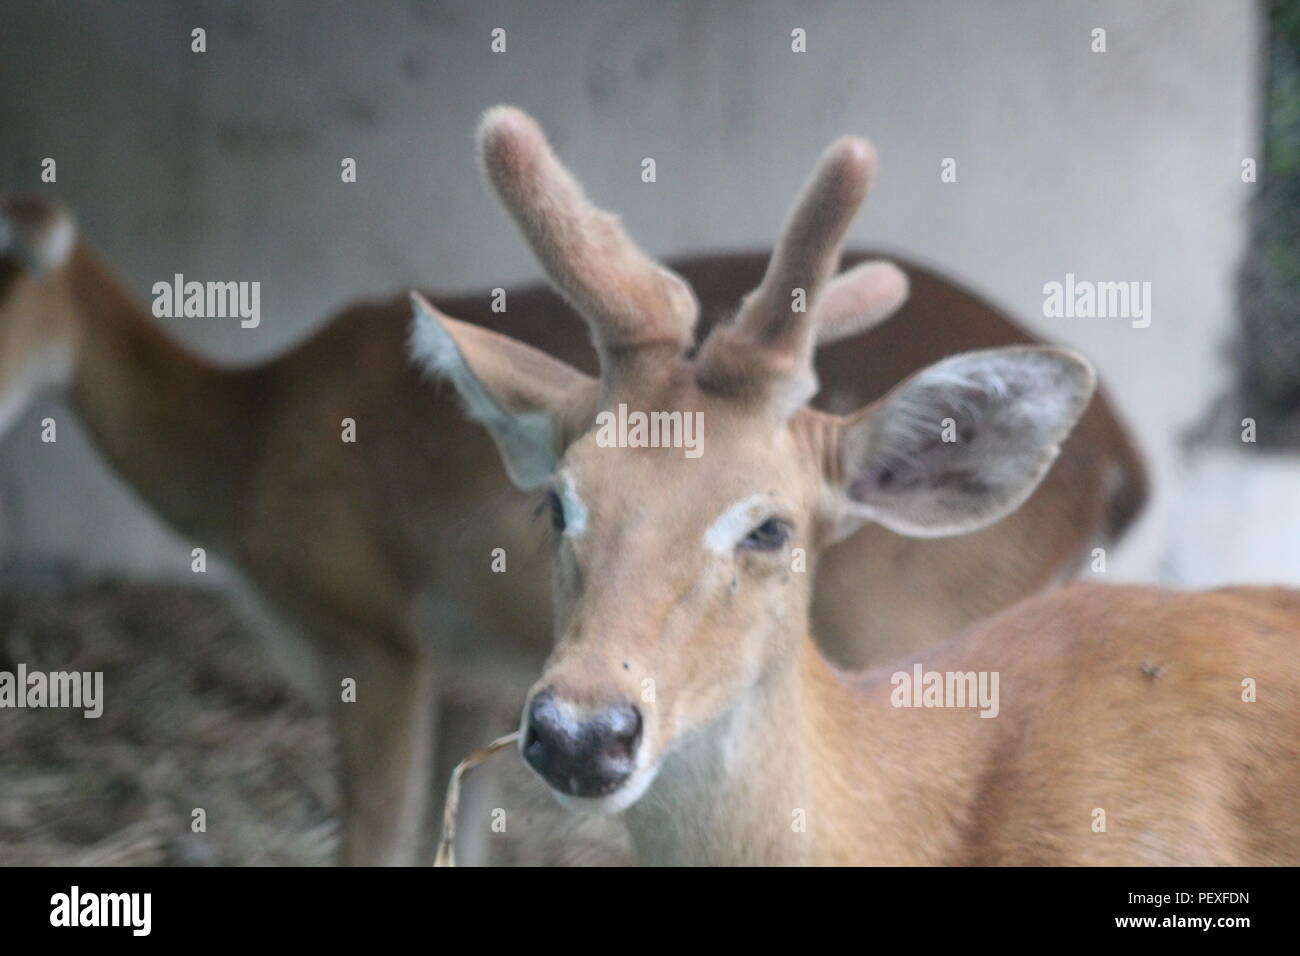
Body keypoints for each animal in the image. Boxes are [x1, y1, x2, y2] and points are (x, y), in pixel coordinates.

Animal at [0, 108, 1145, 865]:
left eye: (770, 527)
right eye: (555, 499)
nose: (583, 730)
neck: (244, 453)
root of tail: (1118, 458)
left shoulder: (371, 630)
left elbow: (372, 836)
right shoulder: (469, 676)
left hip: (916, 614)